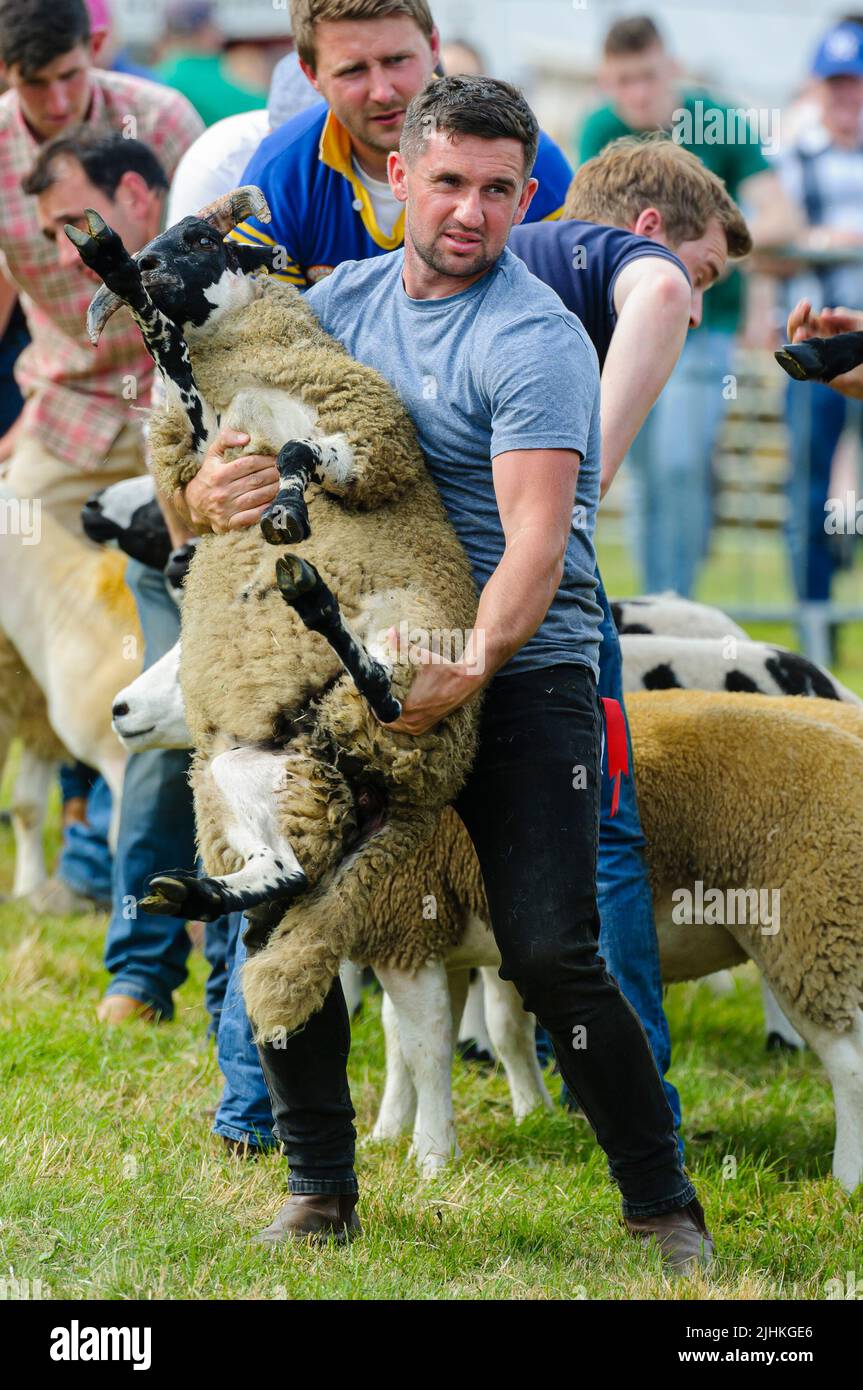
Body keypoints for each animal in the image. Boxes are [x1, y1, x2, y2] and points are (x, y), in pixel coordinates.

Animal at [68, 187, 480, 1043]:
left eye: (199, 237)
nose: (143, 266)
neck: (240, 363)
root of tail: (406, 799)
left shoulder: (366, 437)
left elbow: (294, 455)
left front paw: (287, 517)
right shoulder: (206, 446)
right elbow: (175, 371)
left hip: (411, 657)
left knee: (383, 691)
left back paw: (309, 593)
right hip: (251, 774)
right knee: (289, 869)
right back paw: (190, 893)